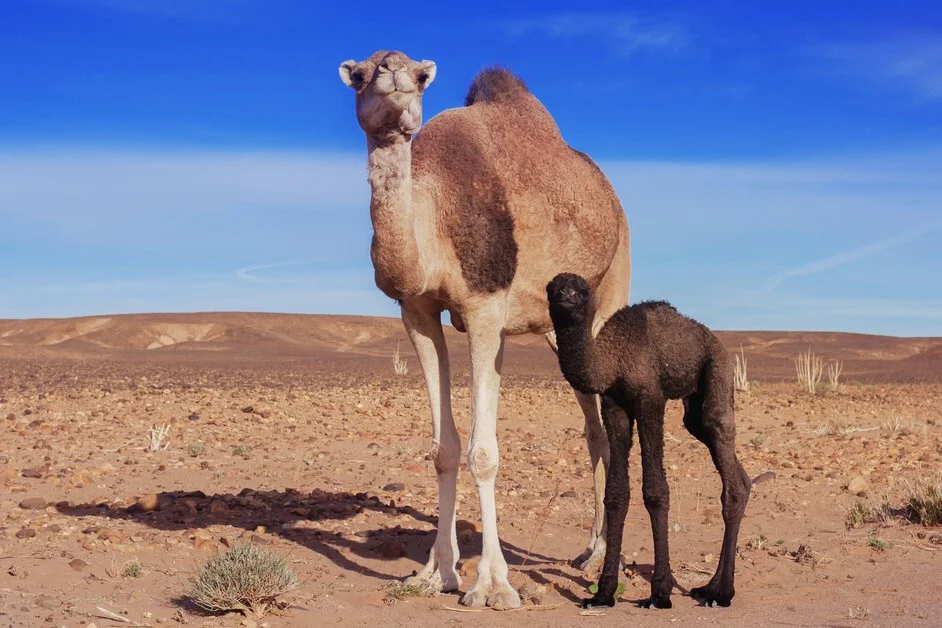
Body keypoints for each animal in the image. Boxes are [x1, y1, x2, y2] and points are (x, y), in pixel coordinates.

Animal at [338, 50, 630, 609]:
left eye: (421, 75)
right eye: (359, 74)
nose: (392, 70)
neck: (434, 217)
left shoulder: (486, 309)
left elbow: (484, 452)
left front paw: (492, 585)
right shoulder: (417, 311)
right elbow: (445, 449)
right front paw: (435, 572)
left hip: (612, 289)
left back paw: (606, 557)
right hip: (561, 330)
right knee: (595, 431)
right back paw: (591, 549)